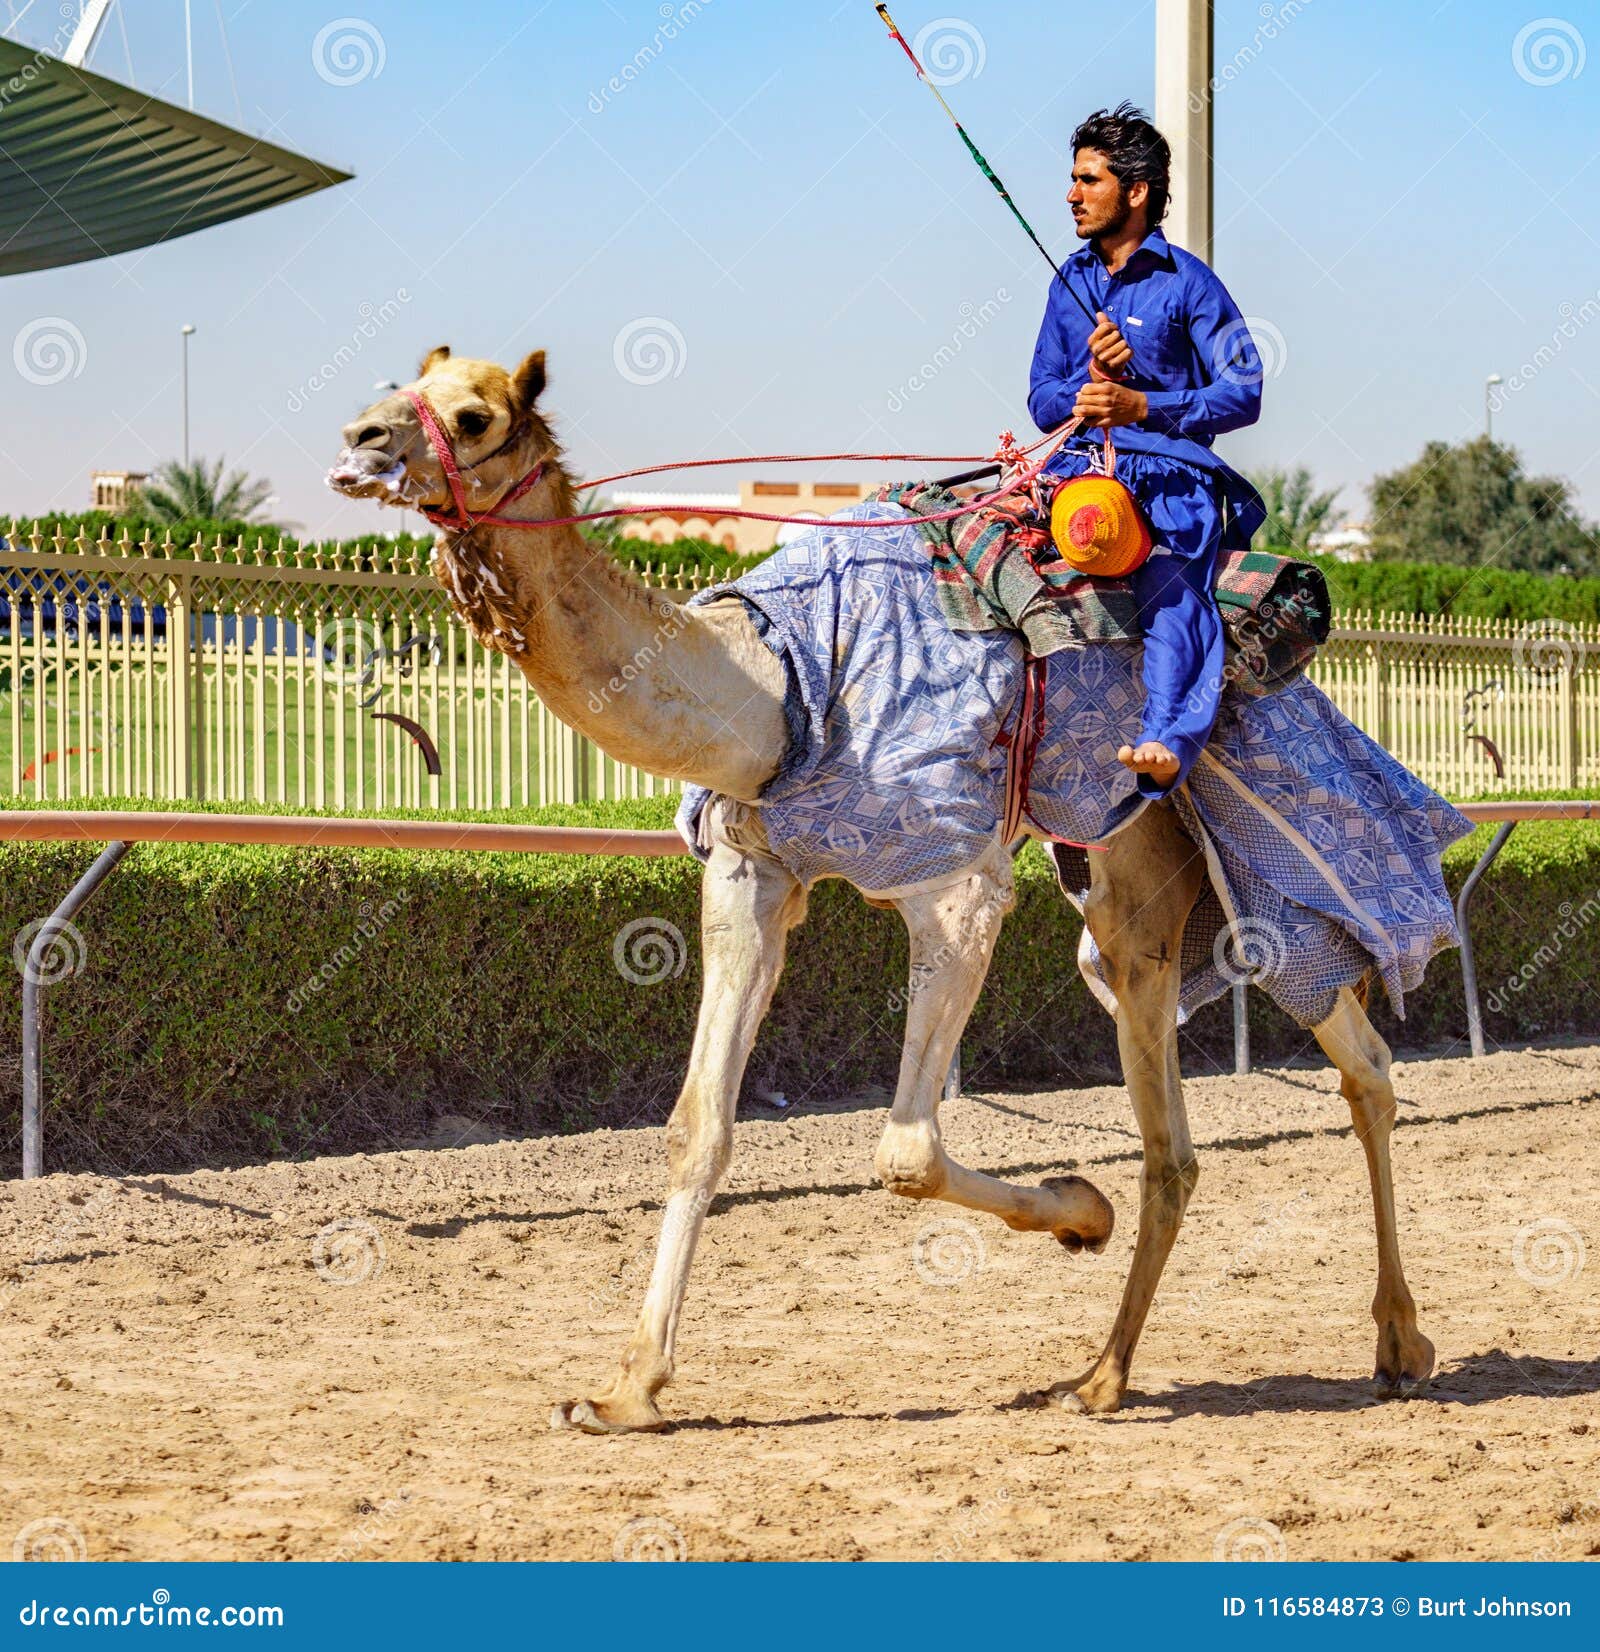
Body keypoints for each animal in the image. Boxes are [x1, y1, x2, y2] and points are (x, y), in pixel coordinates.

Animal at [327, 346, 1436, 1432]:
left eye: (472, 414)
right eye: (402, 382)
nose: (358, 441)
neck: (778, 693)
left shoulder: (957, 883)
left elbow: (905, 1150)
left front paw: (1078, 1207)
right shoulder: (751, 867)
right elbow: (698, 1128)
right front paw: (625, 1390)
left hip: (1250, 871)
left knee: (1358, 1053)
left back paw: (1389, 1344)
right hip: (1131, 902)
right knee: (1186, 1134)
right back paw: (1108, 1375)